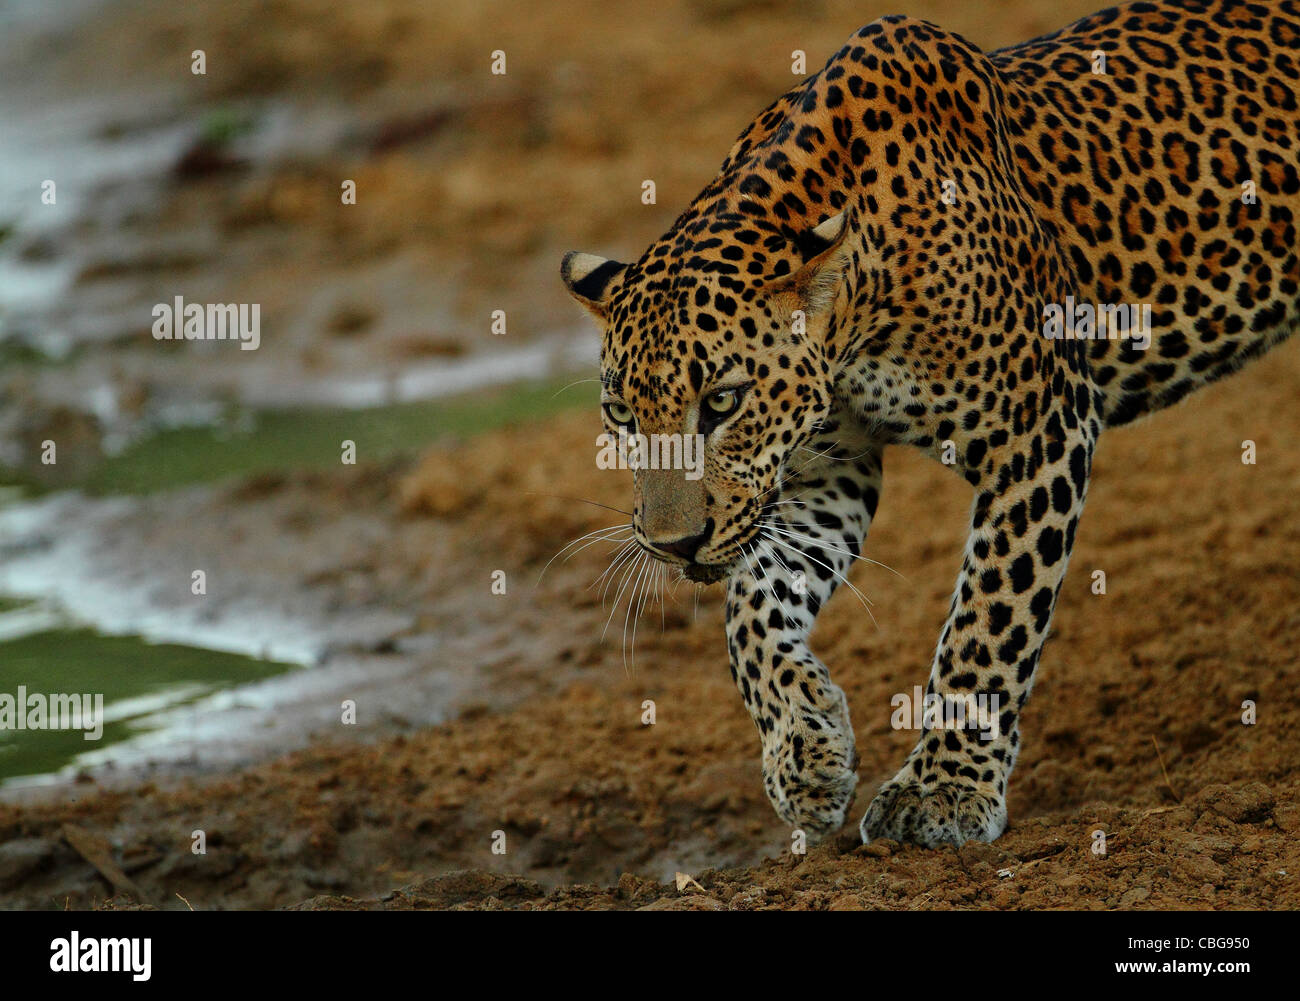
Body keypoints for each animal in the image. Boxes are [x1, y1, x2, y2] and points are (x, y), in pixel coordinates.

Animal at [560, 0, 1300, 847]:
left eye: (722, 402)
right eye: (623, 414)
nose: (672, 546)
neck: (854, 318)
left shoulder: (1038, 427)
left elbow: (989, 615)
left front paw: (942, 790)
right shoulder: (824, 471)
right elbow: (750, 613)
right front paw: (806, 750)